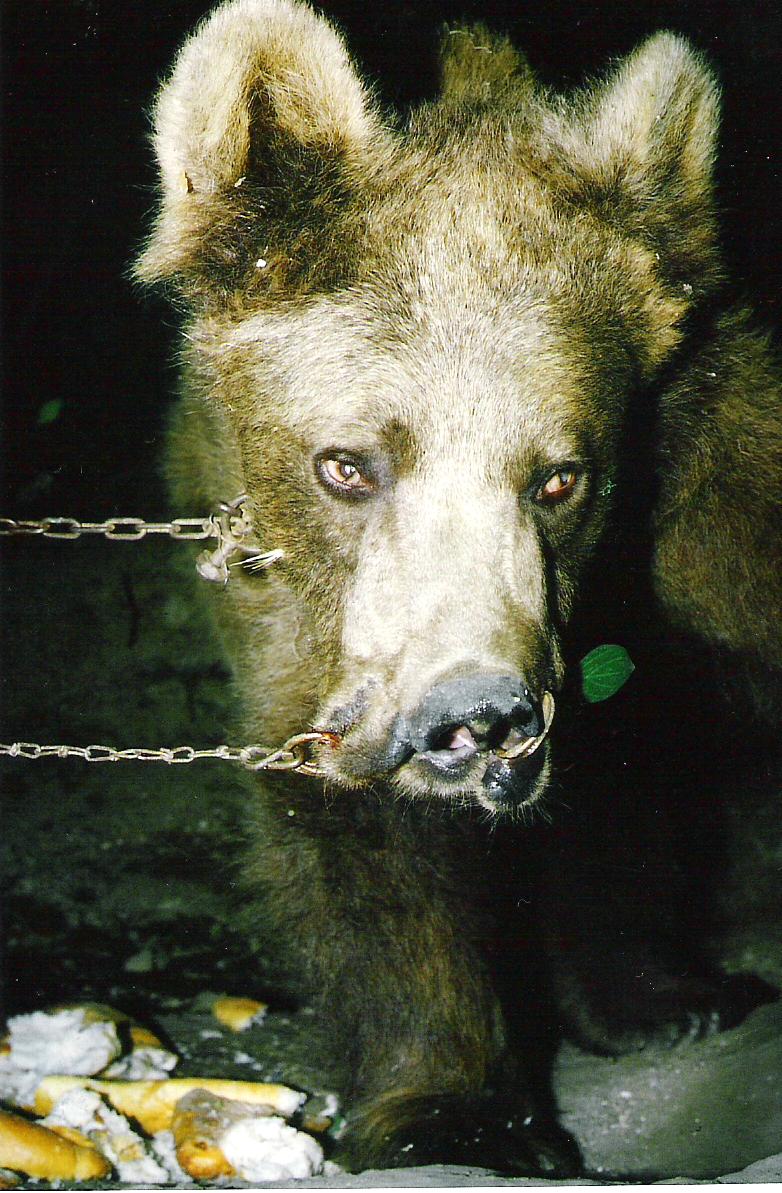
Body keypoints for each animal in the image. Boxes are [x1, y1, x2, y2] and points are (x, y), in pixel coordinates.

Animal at [135, 0, 782, 1175]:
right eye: (346, 463)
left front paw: (661, 995)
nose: (476, 717)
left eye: (561, 474)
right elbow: (365, 836)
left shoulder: (715, 472)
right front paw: (454, 1107)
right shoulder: (309, 615)